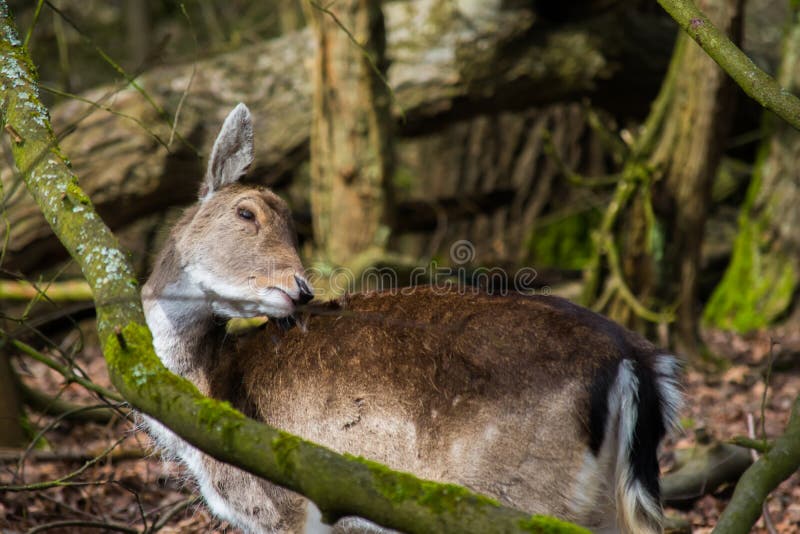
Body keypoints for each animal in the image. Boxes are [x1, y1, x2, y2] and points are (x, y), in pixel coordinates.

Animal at [140, 103, 681, 534]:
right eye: (246, 213)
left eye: (291, 224)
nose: (302, 289)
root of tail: (634, 361)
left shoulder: (287, 507)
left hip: (522, 494)